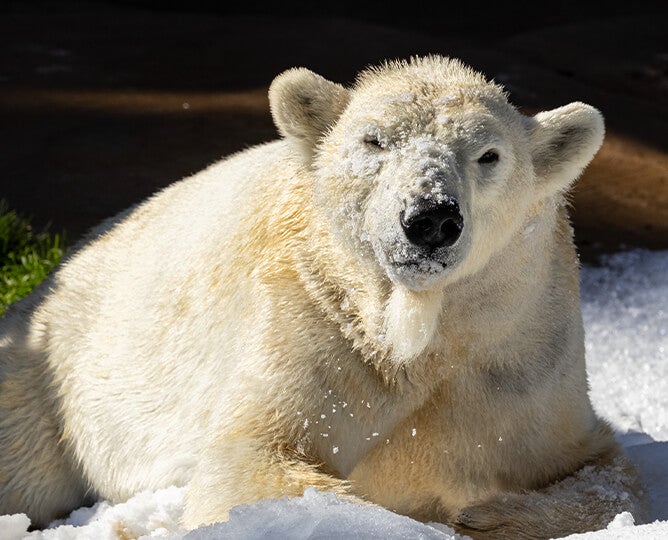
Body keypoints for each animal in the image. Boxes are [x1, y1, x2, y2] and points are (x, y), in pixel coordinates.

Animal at [0, 55, 648, 538]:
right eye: (375, 141)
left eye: (489, 155)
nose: (431, 218)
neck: (424, 328)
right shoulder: (317, 316)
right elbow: (257, 457)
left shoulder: (517, 349)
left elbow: (605, 473)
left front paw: (486, 514)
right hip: (54, 381)